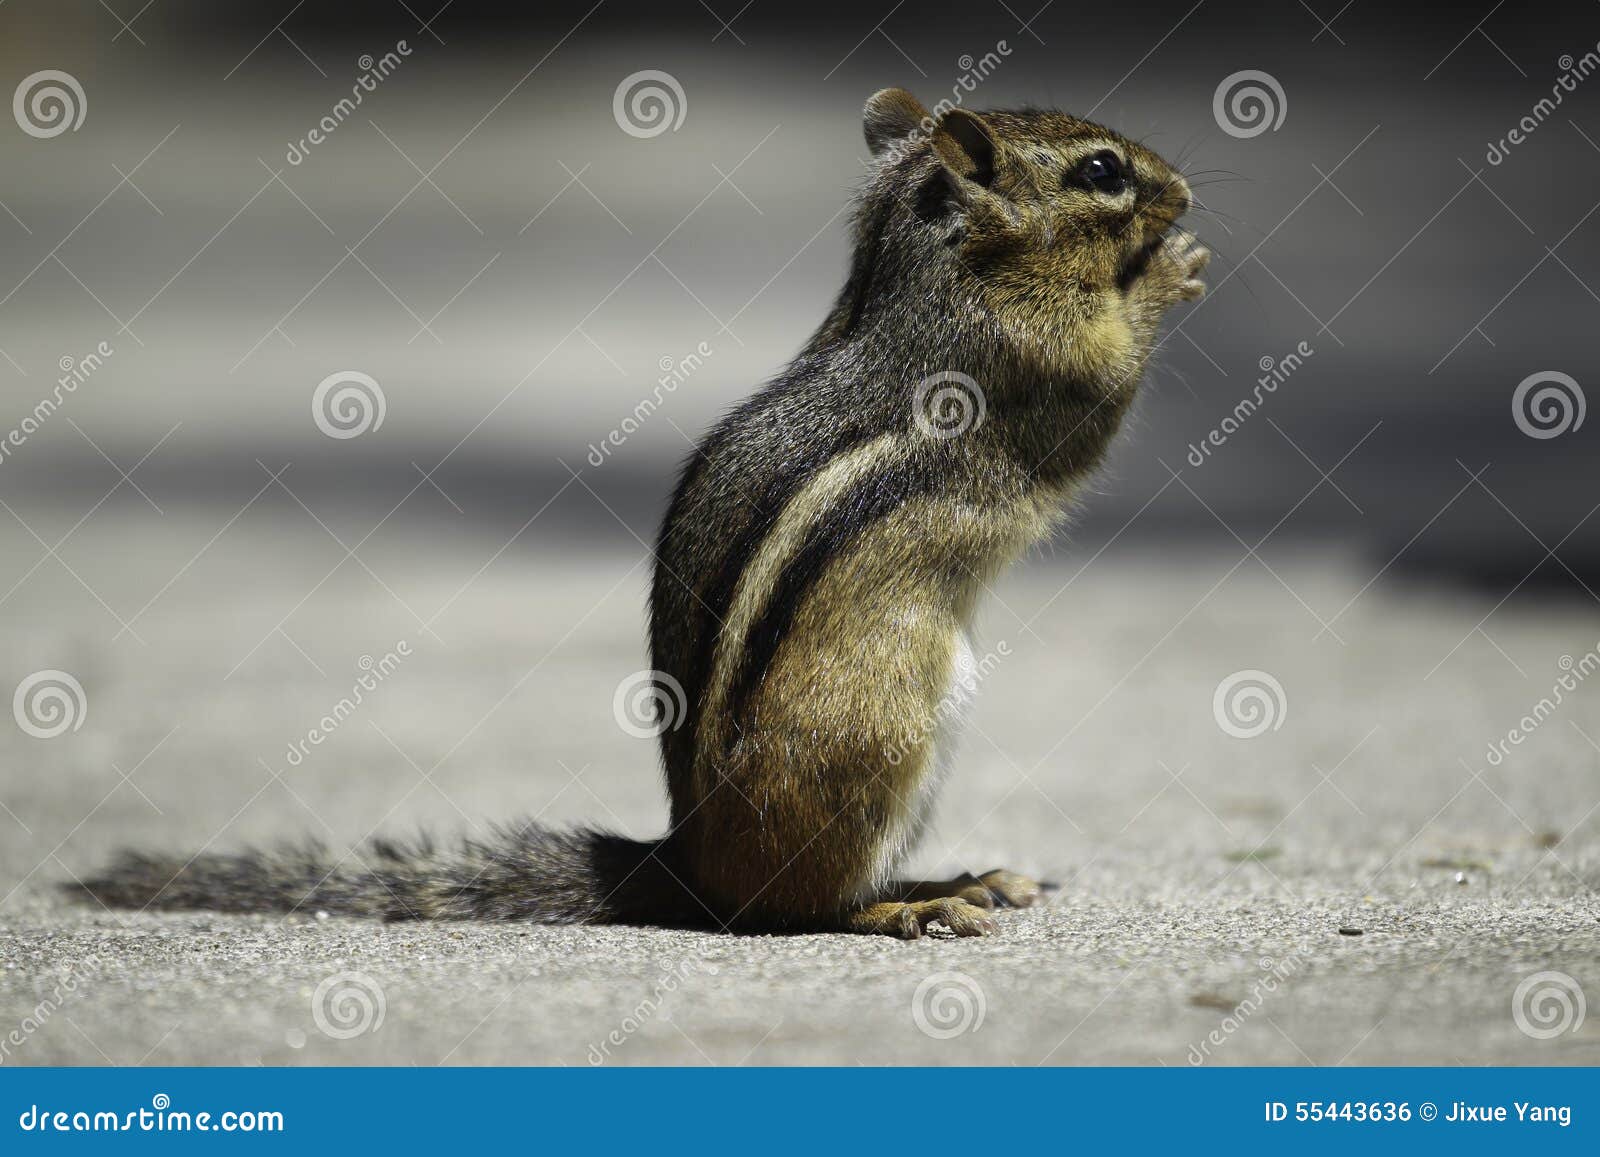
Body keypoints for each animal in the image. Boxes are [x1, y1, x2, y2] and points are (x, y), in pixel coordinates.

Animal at [77, 89, 1206, 939]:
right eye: (1102, 172)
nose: (1188, 187)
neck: (934, 270)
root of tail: (690, 866)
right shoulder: (1033, 362)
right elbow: (1100, 398)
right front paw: (1166, 274)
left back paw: (952, 878)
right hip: (879, 727)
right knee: (797, 907)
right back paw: (907, 907)